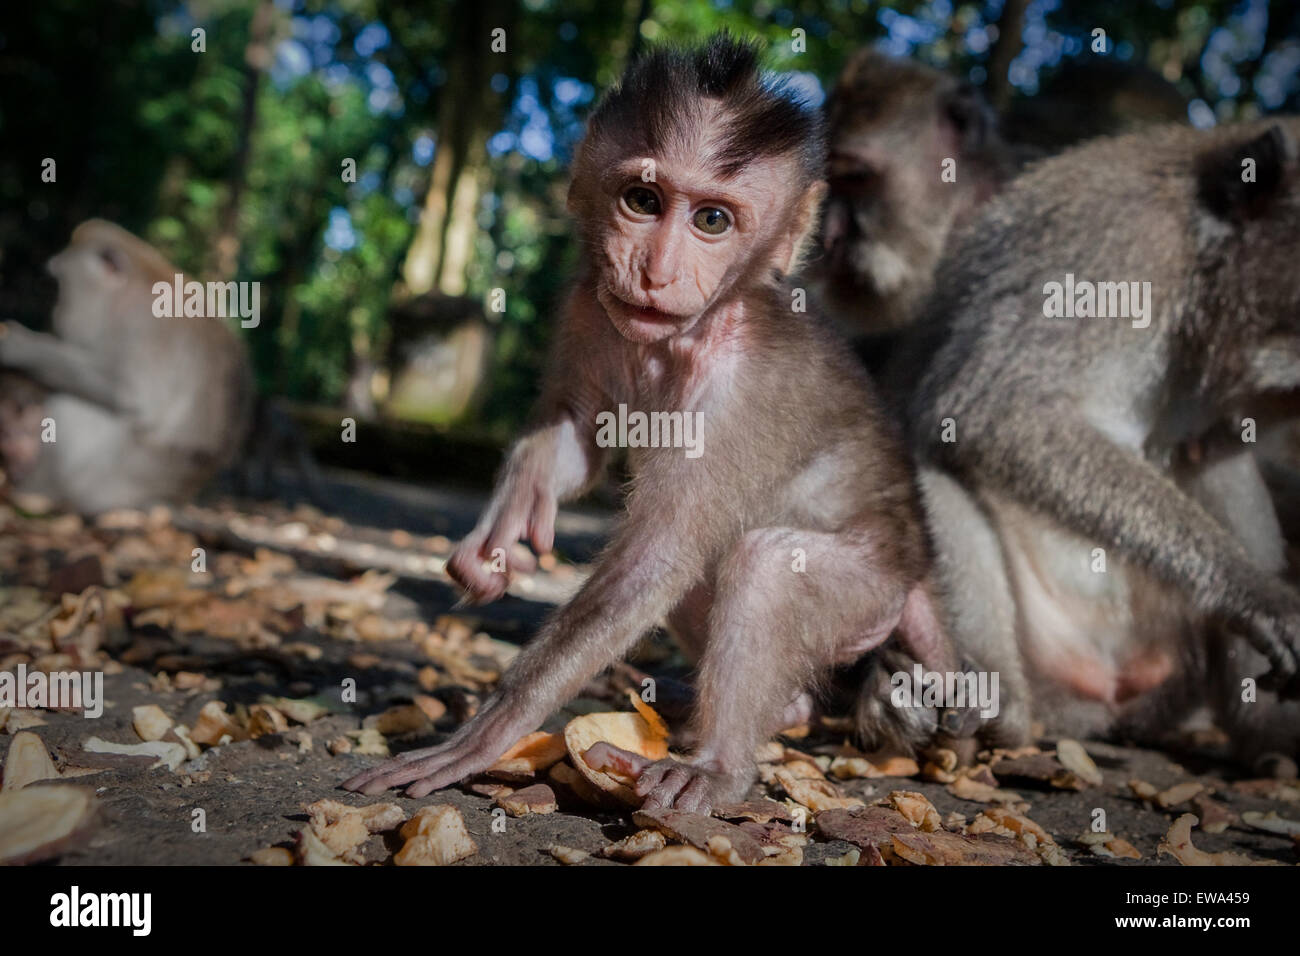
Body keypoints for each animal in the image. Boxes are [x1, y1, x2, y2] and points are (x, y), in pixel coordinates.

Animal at [0, 220, 253, 515]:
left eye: (62, 284)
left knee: (68, 405)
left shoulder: (141, 327)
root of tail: (170, 498)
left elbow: (130, 395)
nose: (58, 311)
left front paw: (20, 346)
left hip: (105, 481)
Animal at [343, 34, 953, 812]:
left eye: (712, 221)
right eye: (643, 200)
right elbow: (581, 432)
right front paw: (508, 521)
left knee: (759, 564)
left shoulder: (735, 395)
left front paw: (484, 734)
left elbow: (653, 563)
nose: (656, 272)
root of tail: (918, 563)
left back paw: (719, 767)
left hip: (869, 587)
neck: (687, 334)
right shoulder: (584, 302)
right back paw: (768, 712)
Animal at [875, 118, 1300, 775]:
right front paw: (1251, 590)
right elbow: (997, 412)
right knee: (931, 457)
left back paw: (1264, 734)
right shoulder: (1115, 244)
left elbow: (1215, 448)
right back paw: (992, 704)